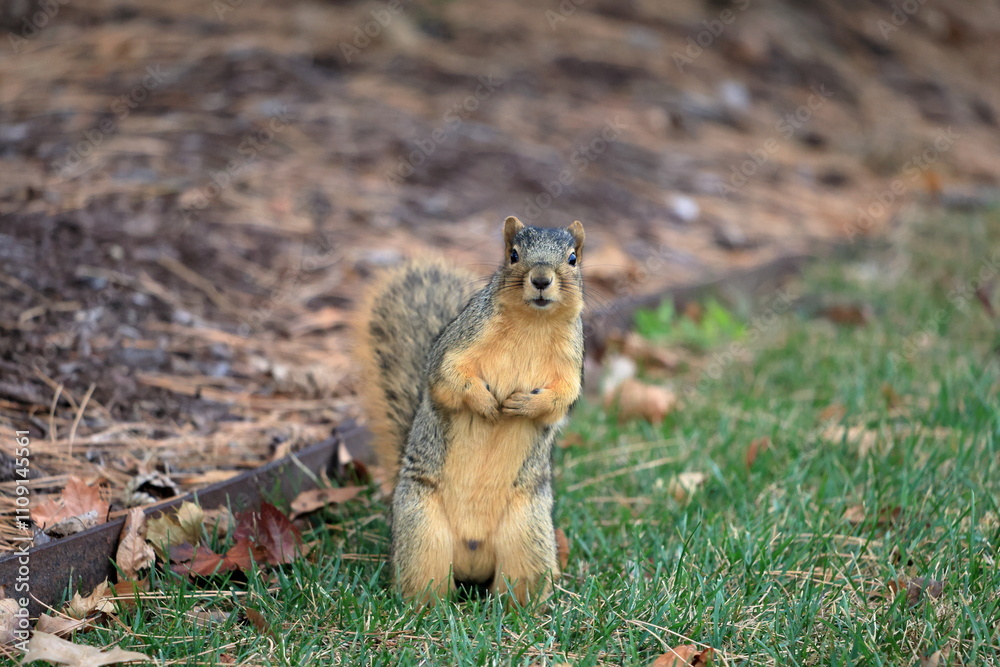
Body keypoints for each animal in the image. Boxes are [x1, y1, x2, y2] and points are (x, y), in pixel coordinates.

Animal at [355, 216, 585, 605]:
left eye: (572, 258)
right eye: (512, 254)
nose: (541, 279)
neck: (533, 323)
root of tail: (473, 556)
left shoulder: (571, 367)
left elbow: (560, 400)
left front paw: (525, 404)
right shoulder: (458, 345)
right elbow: (449, 380)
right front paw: (485, 403)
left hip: (529, 535)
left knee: (517, 583)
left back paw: (525, 610)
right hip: (422, 531)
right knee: (426, 582)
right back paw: (425, 610)